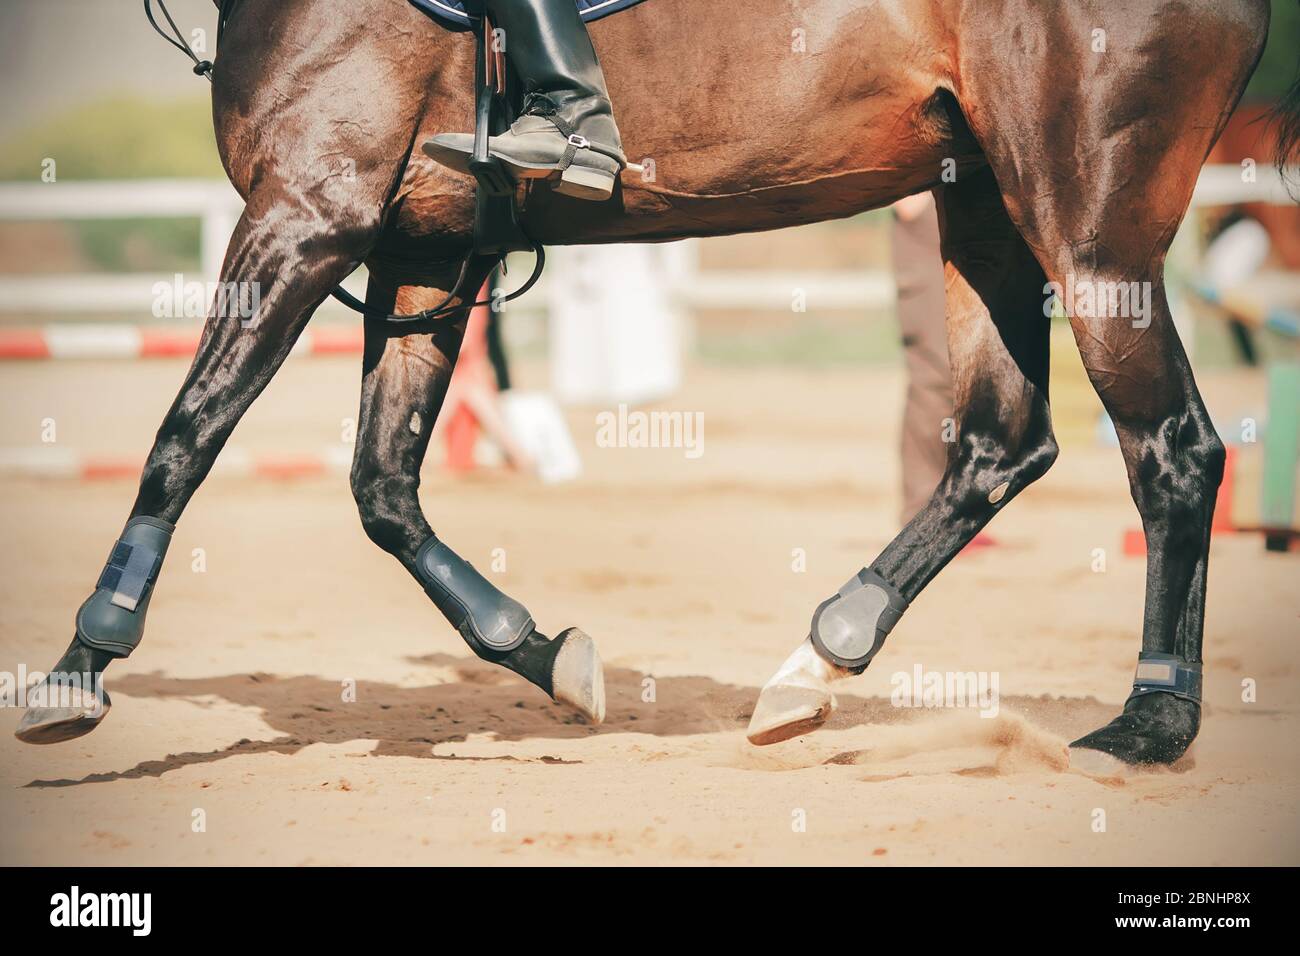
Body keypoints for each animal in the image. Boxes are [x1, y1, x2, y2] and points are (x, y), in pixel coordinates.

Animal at [18, 0, 1299, 772]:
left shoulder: (307, 213)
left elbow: (186, 435)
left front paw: (81, 664)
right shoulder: (421, 242)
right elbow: (383, 488)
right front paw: (549, 656)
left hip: (1086, 228)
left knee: (1172, 449)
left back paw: (1148, 720)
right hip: (980, 193)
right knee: (1001, 439)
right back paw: (813, 663)